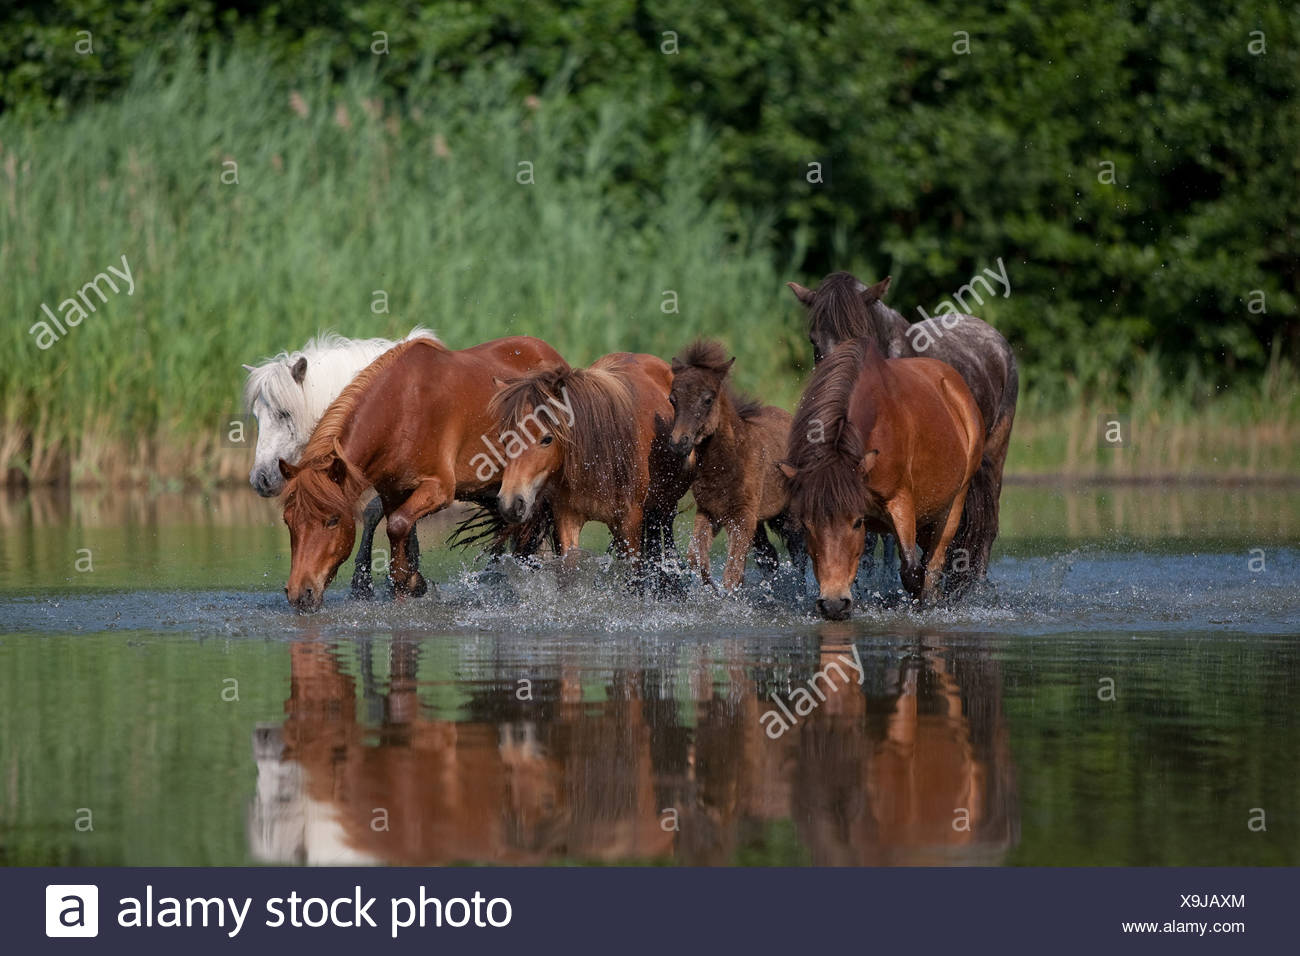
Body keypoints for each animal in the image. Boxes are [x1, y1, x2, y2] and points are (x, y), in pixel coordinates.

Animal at [279, 336, 565, 612]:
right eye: (288, 522)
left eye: (332, 520)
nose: (299, 594)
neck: (402, 409)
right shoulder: (393, 493)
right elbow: (398, 547)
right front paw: (409, 588)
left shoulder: (439, 489)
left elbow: (397, 527)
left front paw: (415, 582)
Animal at [492, 353, 687, 567]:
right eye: (503, 438)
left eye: (547, 439)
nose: (510, 503)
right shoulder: (566, 518)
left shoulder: (630, 521)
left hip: (664, 508)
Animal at [666, 340, 805, 590]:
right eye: (672, 399)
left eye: (708, 399)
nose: (679, 442)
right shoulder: (709, 512)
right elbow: (696, 557)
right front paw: (710, 588)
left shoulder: (741, 518)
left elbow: (732, 573)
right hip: (759, 521)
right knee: (769, 556)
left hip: (788, 515)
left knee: (798, 552)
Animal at [779, 337, 986, 618]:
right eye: (807, 524)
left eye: (857, 522)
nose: (833, 604)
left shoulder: (900, 501)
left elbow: (912, 572)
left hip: (953, 503)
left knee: (933, 564)